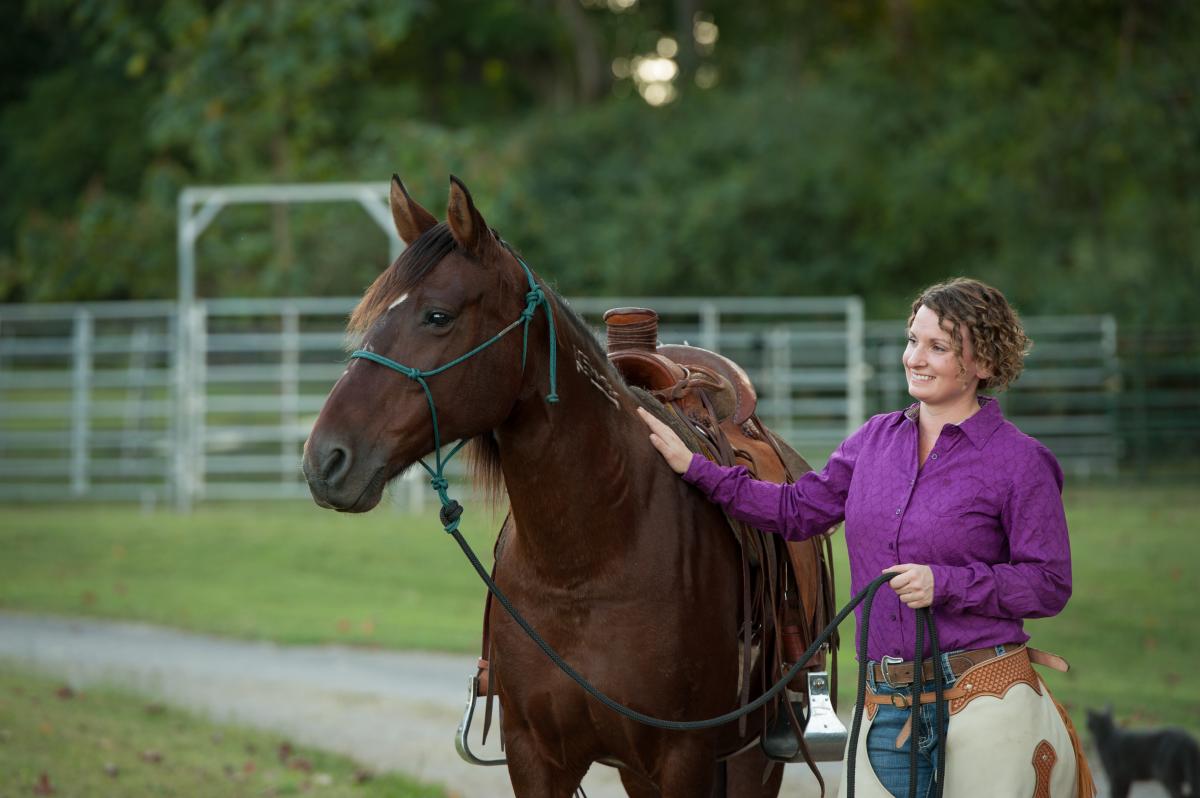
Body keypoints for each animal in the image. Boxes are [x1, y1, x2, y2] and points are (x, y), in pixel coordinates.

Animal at [303, 174, 802, 797]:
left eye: (438, 316)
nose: (325, 459)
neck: (587, 562)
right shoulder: (535, 754)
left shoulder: (683, 756)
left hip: (751, 760)